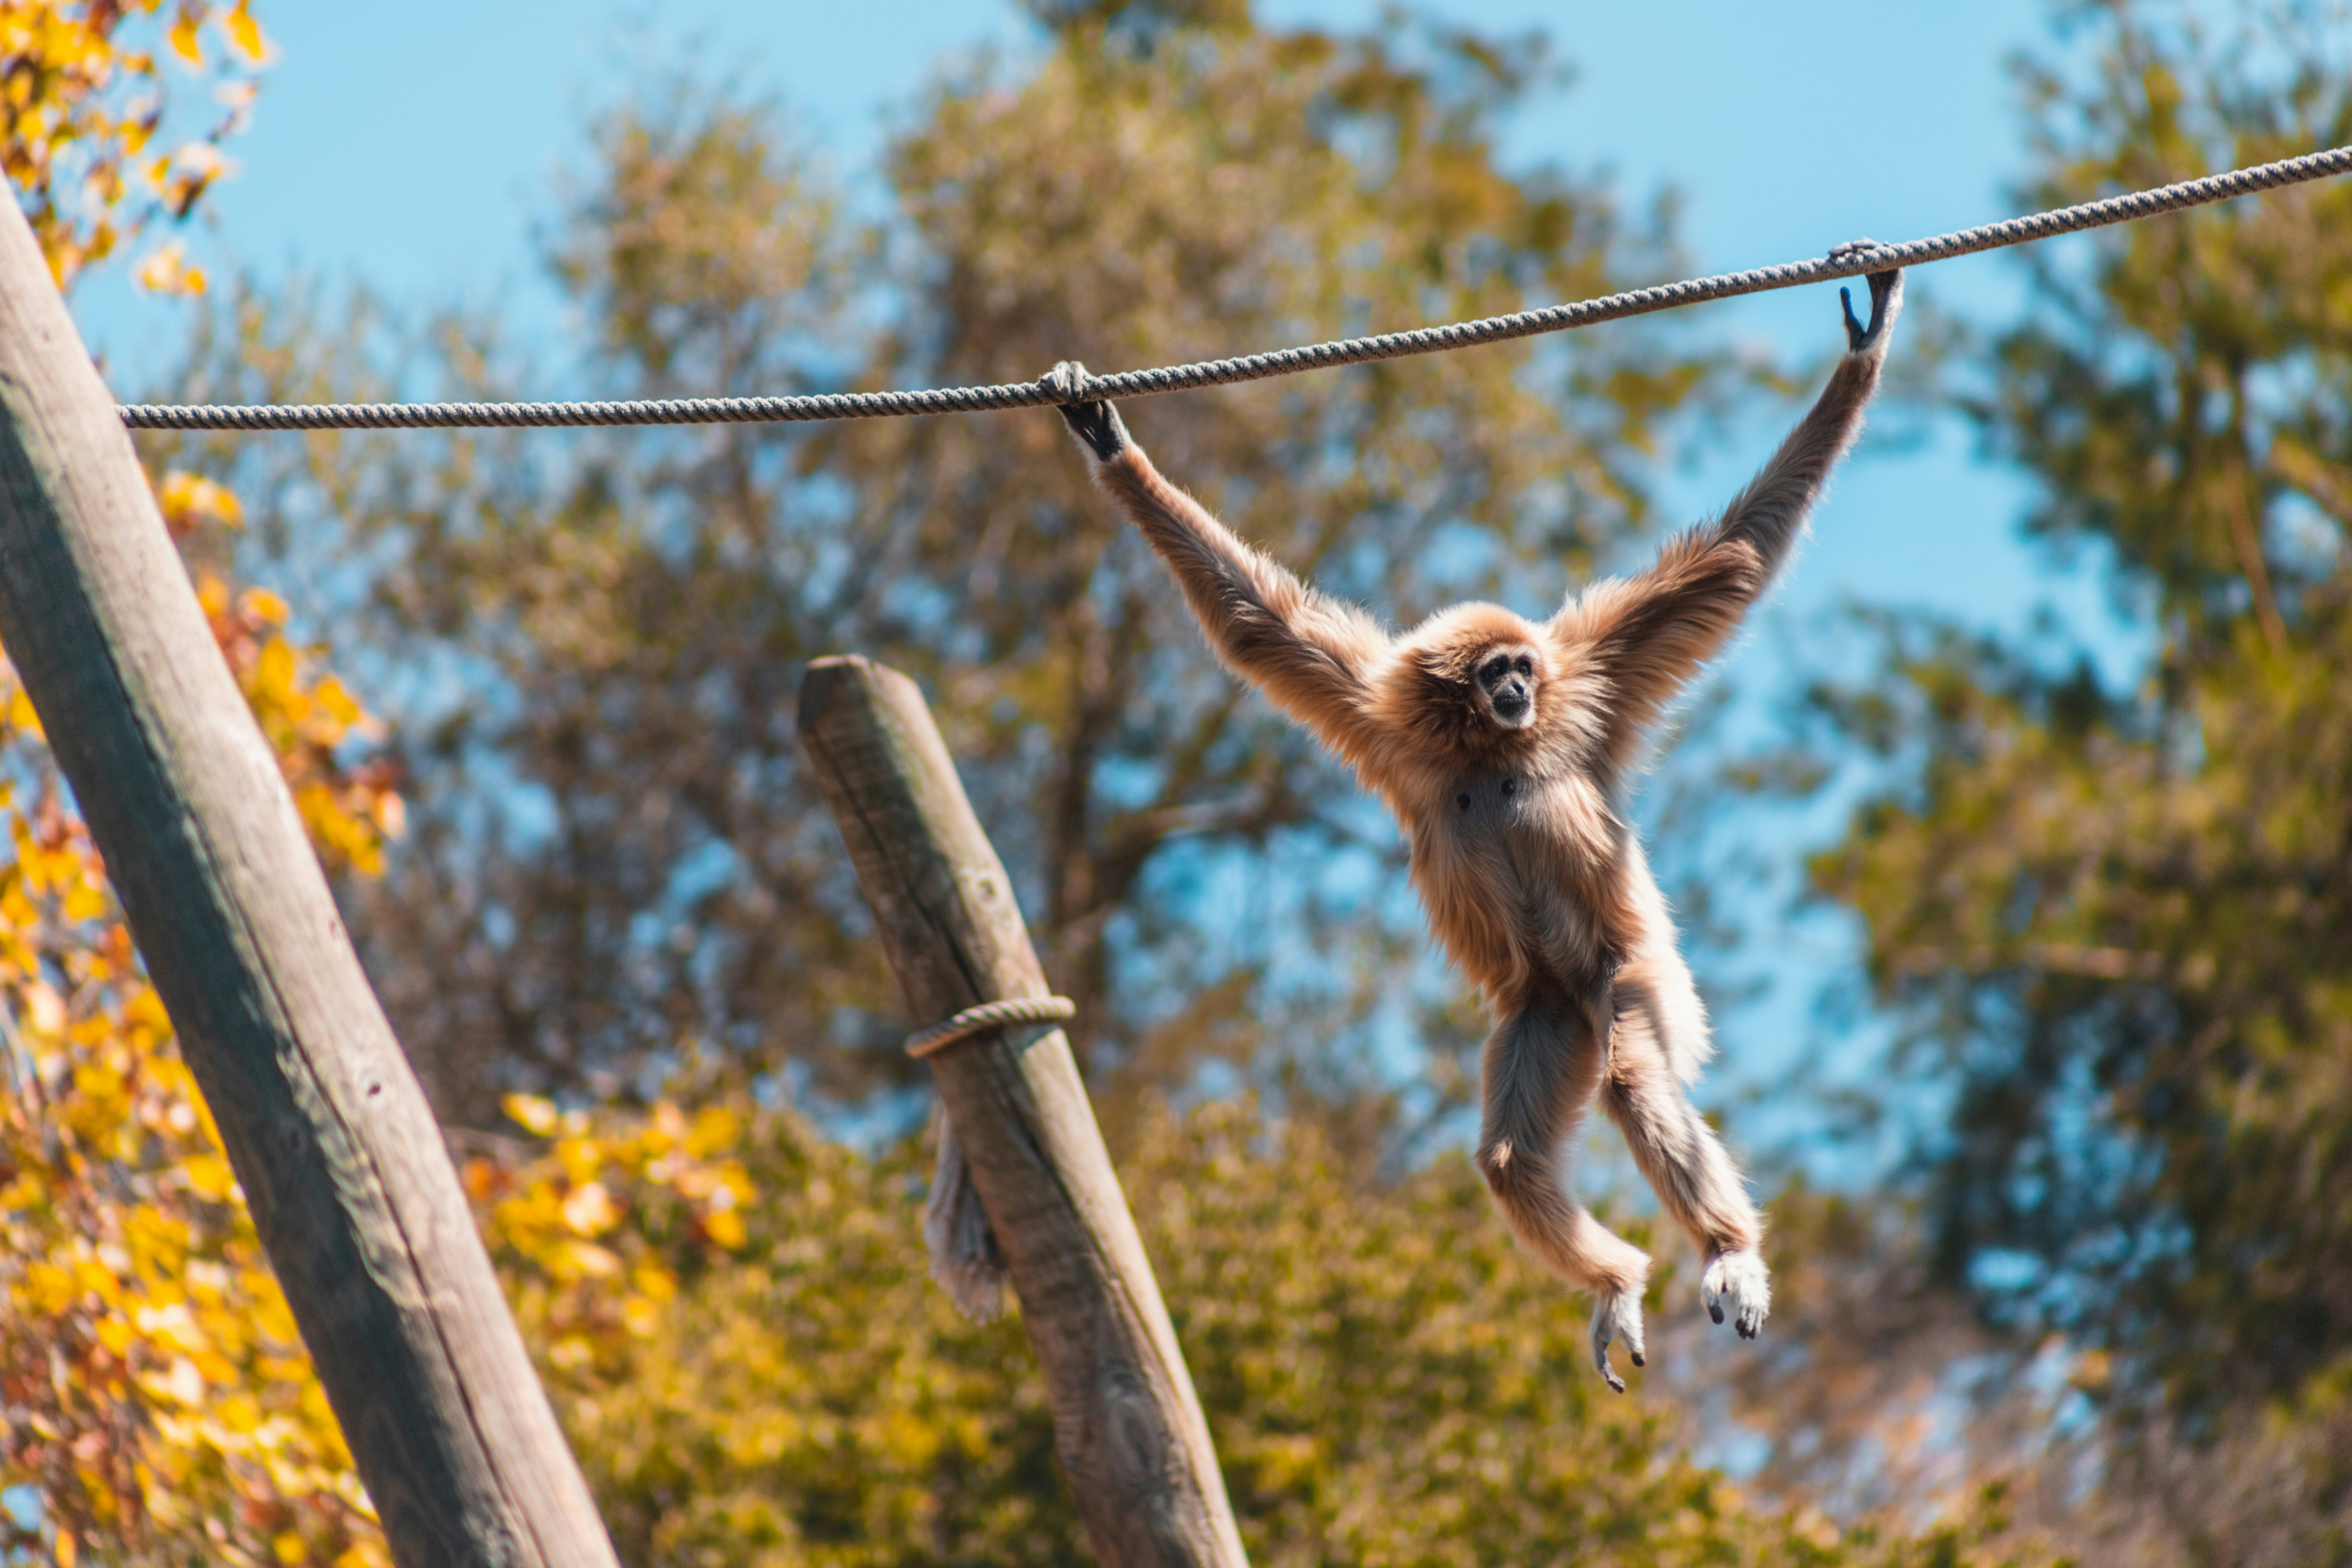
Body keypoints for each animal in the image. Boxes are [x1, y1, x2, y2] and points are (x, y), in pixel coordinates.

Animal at [1045, 257, 1900, 1390]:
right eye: (1495, 672)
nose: (1517, 691)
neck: (1486, 749)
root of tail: (1574, 996)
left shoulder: (1594, 679)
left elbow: (1732, 562)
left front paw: (1866, 345)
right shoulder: (1383, 715)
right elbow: (1256, 624)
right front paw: (1102, 434)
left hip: (1631, 979)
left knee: (1634, 1071)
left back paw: (1724, 1253)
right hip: (1540, 1014)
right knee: (1510, 1158)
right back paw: (1618, 1281)